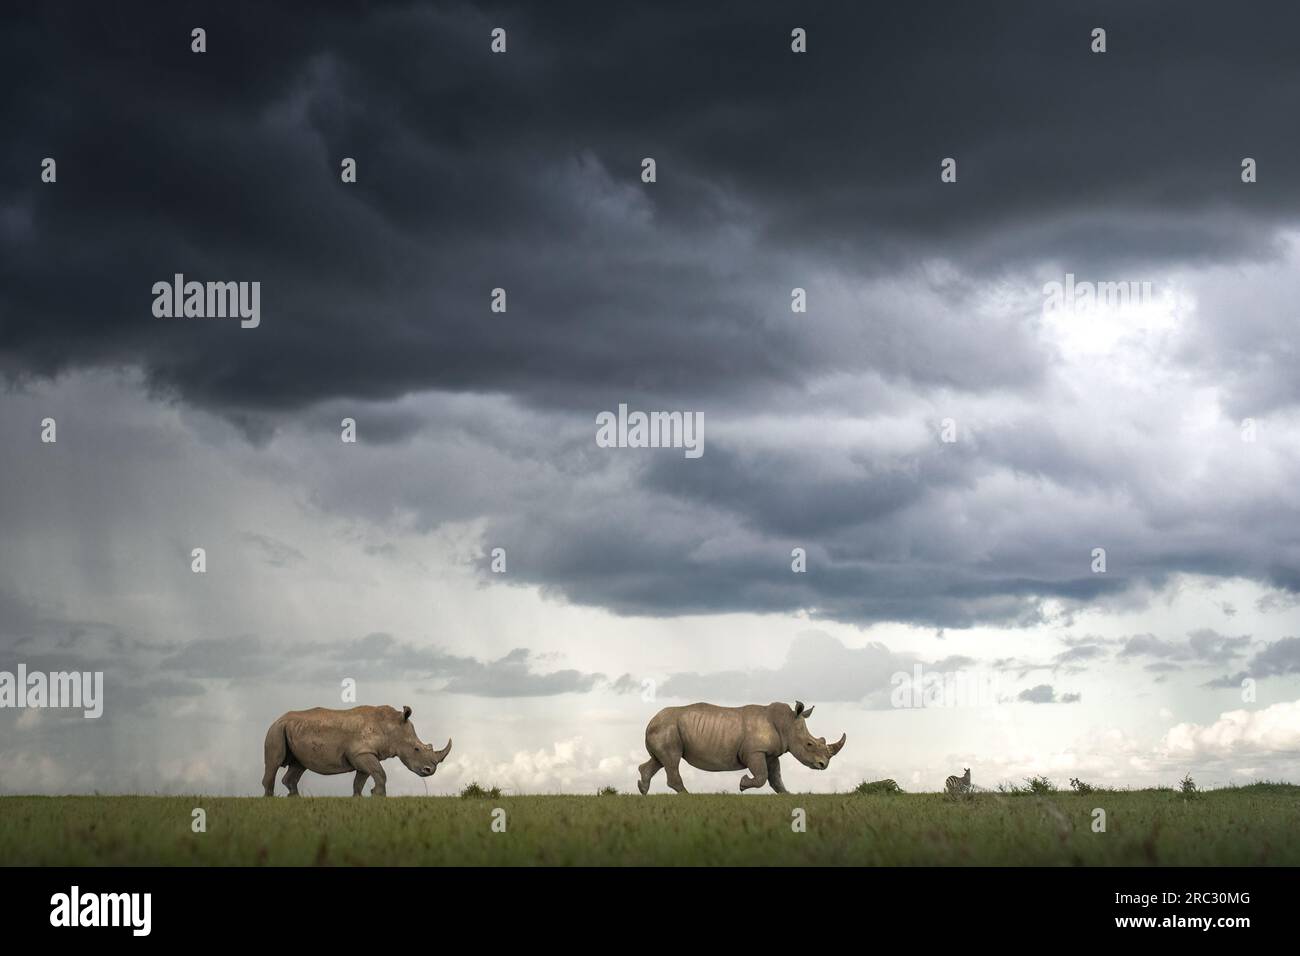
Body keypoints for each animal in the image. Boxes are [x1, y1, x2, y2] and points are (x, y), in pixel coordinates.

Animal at [262, 704, 451, 797]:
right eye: (416, 749)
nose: (430, 770)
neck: (392, 726)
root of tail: (277, 719)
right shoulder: (361, 752)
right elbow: (380, 774)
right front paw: (378, 796)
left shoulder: (365, 754)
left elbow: (359, 782)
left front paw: (359, 799)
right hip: (275, 730)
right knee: (274, 763)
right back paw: (270, 800)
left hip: (292, 731)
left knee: (299, 765)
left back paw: (294, 799)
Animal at [638, 700, 845, 794]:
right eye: (809, 744)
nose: (823, 765)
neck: (786, 724)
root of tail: (650, 721)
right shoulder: (754, 751)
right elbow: (761, 776)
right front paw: (743, 785)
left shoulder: (770, 754)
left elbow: (775, 777)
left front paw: (788, 795)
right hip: (667, 727)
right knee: (672, 760)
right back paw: (688, 796)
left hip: (665, 728)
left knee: (660, 760)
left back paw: (643, 790)